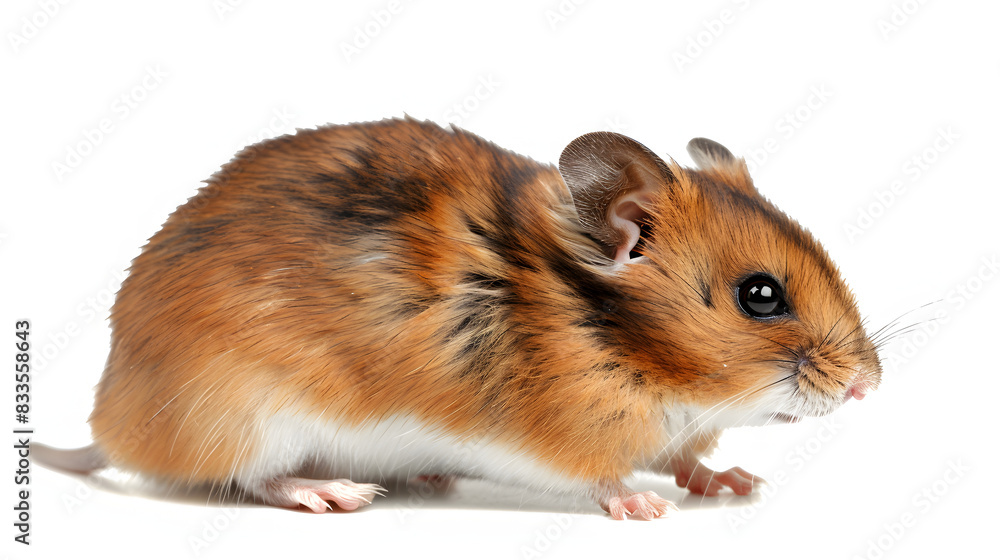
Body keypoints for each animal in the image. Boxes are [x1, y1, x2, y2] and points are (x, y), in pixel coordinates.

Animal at [37, 118, 881, 520]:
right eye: (760, 296)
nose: (869, 387)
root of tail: (111, 423)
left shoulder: (675, 430)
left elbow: (684, 459)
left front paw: (739, 483)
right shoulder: (554, 440)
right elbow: (603, 477)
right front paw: (644, 509)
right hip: (246, 413)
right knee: (252, 477)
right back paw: (335, 493)